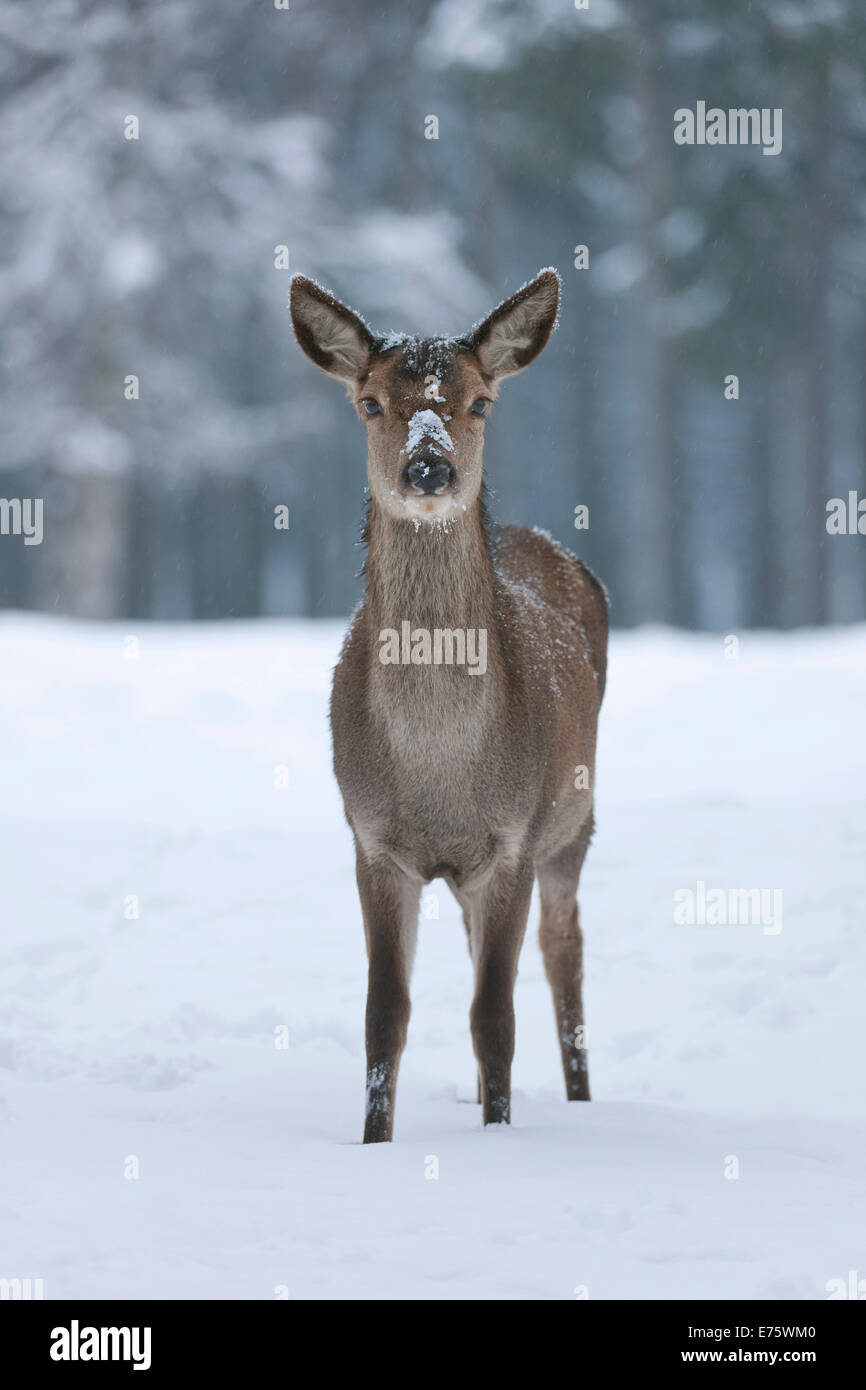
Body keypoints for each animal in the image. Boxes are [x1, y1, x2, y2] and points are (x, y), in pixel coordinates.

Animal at [289, 268, 608, 1143]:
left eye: (479, 402)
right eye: (370, 401)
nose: (428, 470)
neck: (438, 773)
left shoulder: (512, 839)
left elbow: (495, 1016)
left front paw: (497, 1135)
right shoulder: (370, 839)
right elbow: (384, 1014)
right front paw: (375, 1139)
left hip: (574, 820)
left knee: (562, 951)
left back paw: (581, 1100)